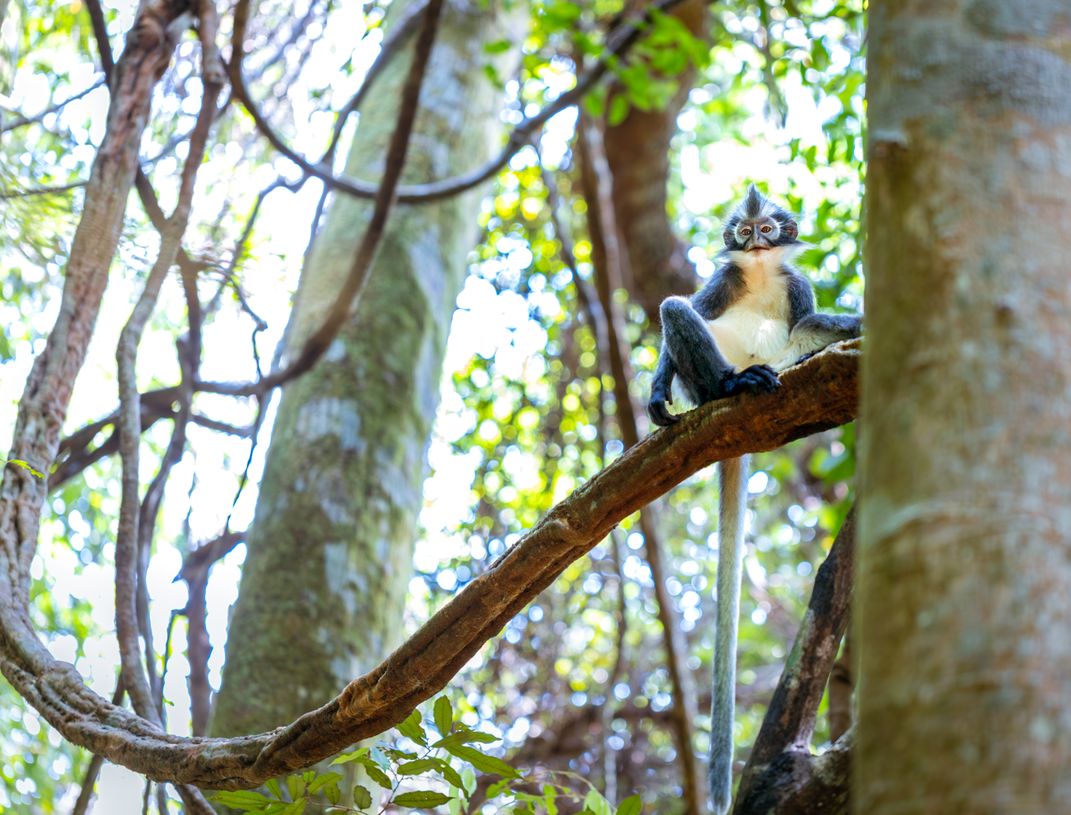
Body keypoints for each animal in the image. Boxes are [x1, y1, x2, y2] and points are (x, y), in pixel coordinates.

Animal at [646, 185, 860, 815]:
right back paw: (732, 385)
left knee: (808, 331)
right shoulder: (723, 280)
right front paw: (656, 391)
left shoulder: (796, 285)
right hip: (708, 378)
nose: (756, 242)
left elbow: (810, 315)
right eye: (744, 232)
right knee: (676, 310)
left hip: (786, 359)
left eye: (768, 228)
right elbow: (681, 309)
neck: (762, 272)